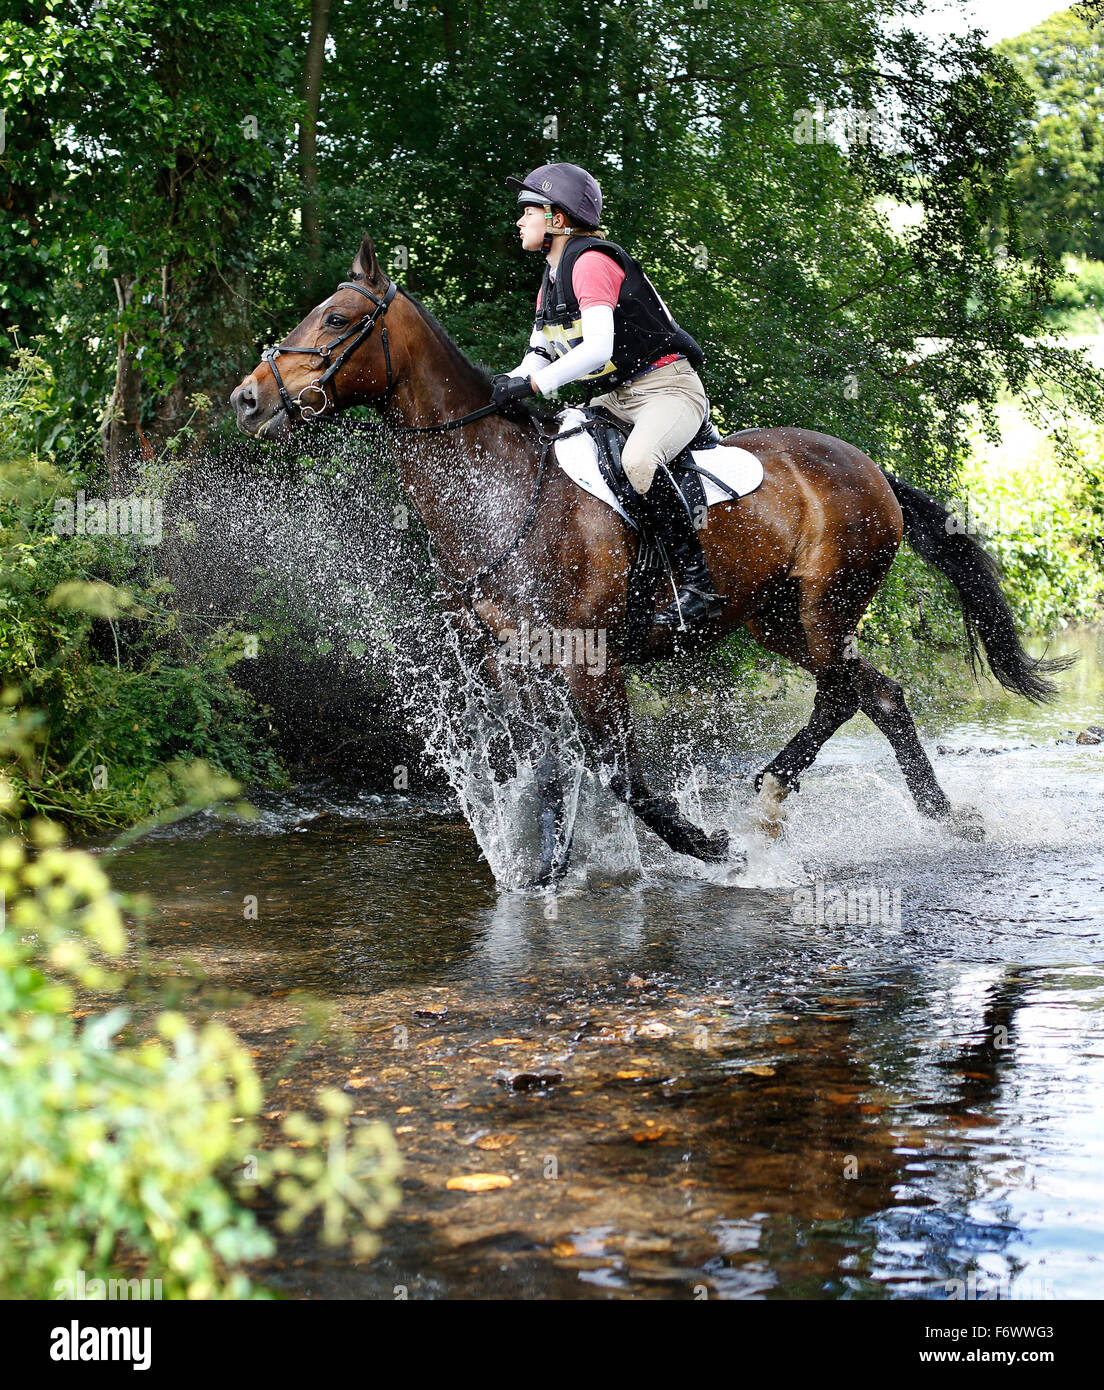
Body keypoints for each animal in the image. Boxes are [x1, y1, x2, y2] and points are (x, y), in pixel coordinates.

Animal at [230, 235, 1070, 885]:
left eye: (338, 319)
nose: (246, 400)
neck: (498, 495)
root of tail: (866, 466)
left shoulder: (590, 662)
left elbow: (616, 770)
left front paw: (707, 847)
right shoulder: (509, 663)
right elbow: (543, 767)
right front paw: (543, 871)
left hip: (824, 605)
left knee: (844, 693)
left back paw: (781, 804)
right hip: (774, 620)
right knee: (876, 694)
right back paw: (919, 815)